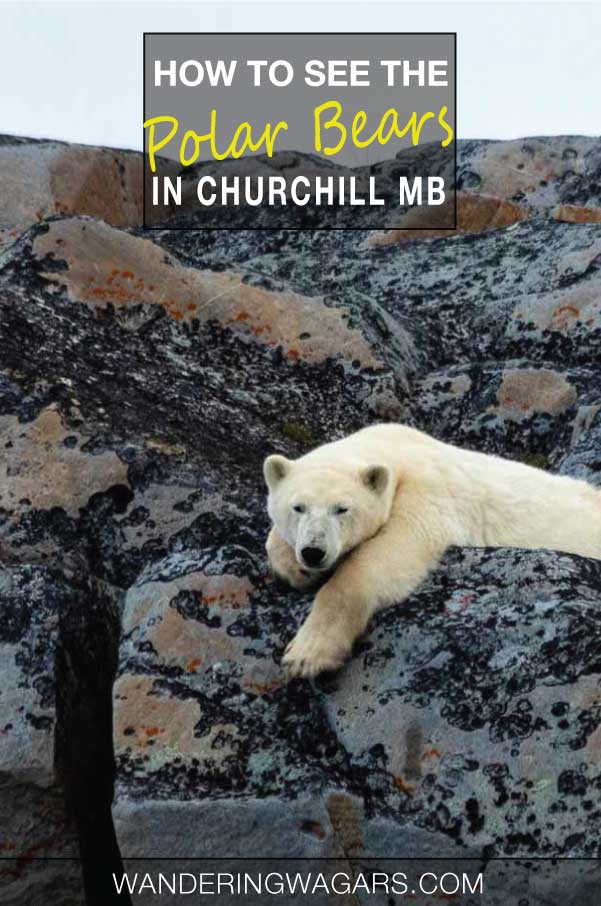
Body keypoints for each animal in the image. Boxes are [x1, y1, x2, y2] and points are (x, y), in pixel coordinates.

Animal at [264, 423, 601, 678]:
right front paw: (296, 569)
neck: (397, 448)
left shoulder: (427, 493)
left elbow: (389, 556)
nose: (313, 552)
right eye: (298, 507)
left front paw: (306, 655)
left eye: (341, 508)